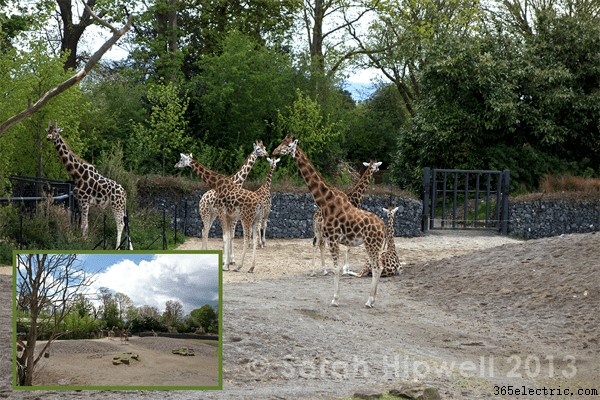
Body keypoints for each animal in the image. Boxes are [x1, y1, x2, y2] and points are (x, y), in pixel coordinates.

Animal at [45, 120, 132, 248]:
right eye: (48, 130)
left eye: (55, 131)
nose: (48, 137)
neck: (77, 174)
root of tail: (125, 193)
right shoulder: (80, 200)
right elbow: (84, 224)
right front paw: (84, 240)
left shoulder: (85, 200)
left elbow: (84, 224)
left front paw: (84, 242)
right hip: (118, 206)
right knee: (126, 223)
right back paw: (128, 247)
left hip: (117, 205)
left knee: (120, 224)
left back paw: (117, 247)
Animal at [274, 136, 386, 308]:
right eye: (281, 142)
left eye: (287, 145)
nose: (274, 151)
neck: (325, 202)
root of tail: (384, 227)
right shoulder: (334, 239)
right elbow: (337, 264)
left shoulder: (334, 238)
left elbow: (337, 268)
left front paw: (335, 299)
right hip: (373, 245)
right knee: (376, 267)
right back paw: (371, 300)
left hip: (371, 244)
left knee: (377, 267)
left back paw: (369, 301)